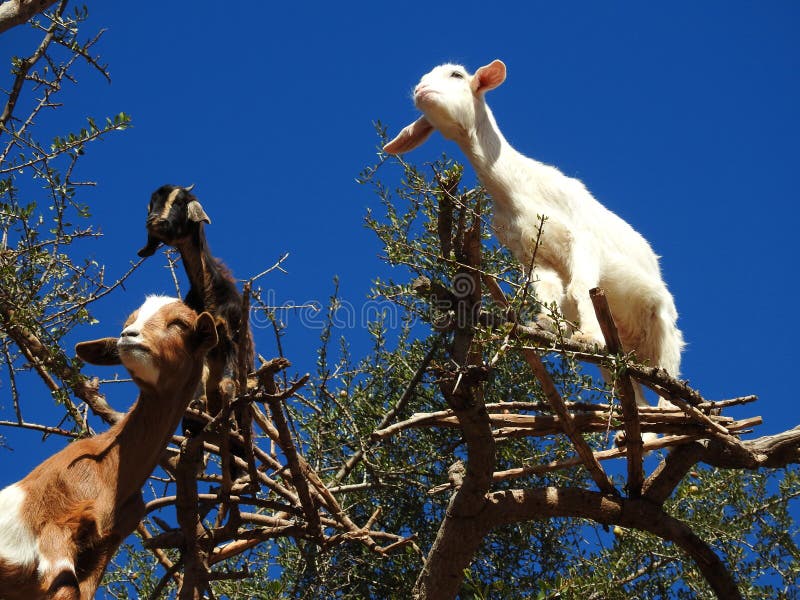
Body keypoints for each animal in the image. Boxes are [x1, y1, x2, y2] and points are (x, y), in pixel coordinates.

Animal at [0, 296, 218, 599]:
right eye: (129, 321)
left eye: (180, 323)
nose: (129, 336)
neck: (108, 467)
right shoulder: (56, 525)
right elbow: (66, 590)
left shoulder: (103, 546)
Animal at [137, 184, 254, 467]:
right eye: (152, 203)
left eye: (180, 202)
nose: (154, 222)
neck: (210, 293)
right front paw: (197, 406)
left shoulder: (231, 337)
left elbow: (227, 383)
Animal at [384, 60, 685, 425]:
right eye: (421, 82)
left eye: (456, 75)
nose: (420, 91)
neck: (519, 190)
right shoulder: (532, 253)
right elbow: (549, 291)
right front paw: (547, 324)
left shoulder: (582, 240)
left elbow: (580, 288)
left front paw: (587, 335)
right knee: (634, 396)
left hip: (665, 328)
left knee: (668, 380)